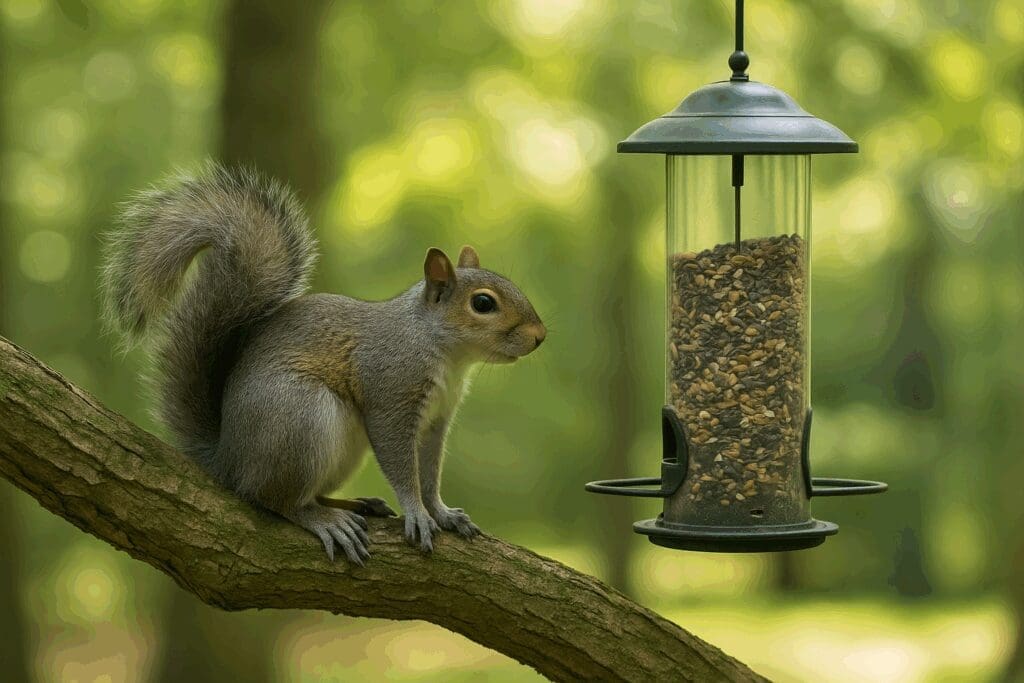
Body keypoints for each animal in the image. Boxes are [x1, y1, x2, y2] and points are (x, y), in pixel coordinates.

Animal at [100, 164, 546, 564]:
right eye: (483, 303)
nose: (540, 336)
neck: (442, 353)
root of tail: (229, 459)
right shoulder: (390, 393)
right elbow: (402, 466)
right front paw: (417, 513)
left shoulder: (437, 419)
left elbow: (430, 470)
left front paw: (441, 511)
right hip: (301, 420)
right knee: (275, 500)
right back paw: (324, 519)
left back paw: (353, 506)